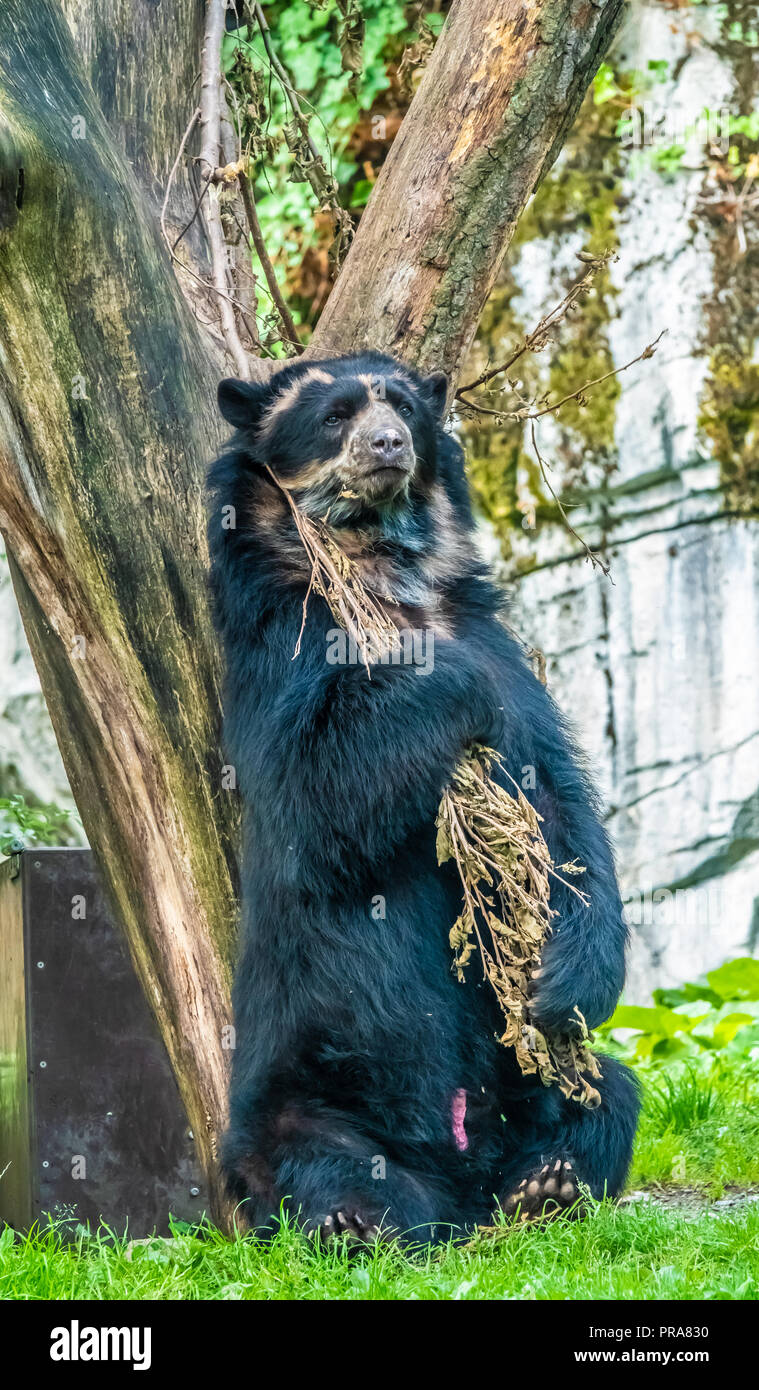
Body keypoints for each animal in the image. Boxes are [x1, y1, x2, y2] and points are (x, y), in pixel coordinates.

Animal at [207, 350, 640, 1245]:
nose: (388, 444)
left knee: (606, 1092)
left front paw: (558, 977)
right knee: (319, 1164)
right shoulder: (276, 644)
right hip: (299, 1091)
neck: (382, 568)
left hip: (538, 1083)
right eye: (334, 414)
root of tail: (460, 1197)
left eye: (403, 405)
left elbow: (559, 809)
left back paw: (545, 1184)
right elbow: (318, 790)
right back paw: (358, 1220)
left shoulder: (497, 650)